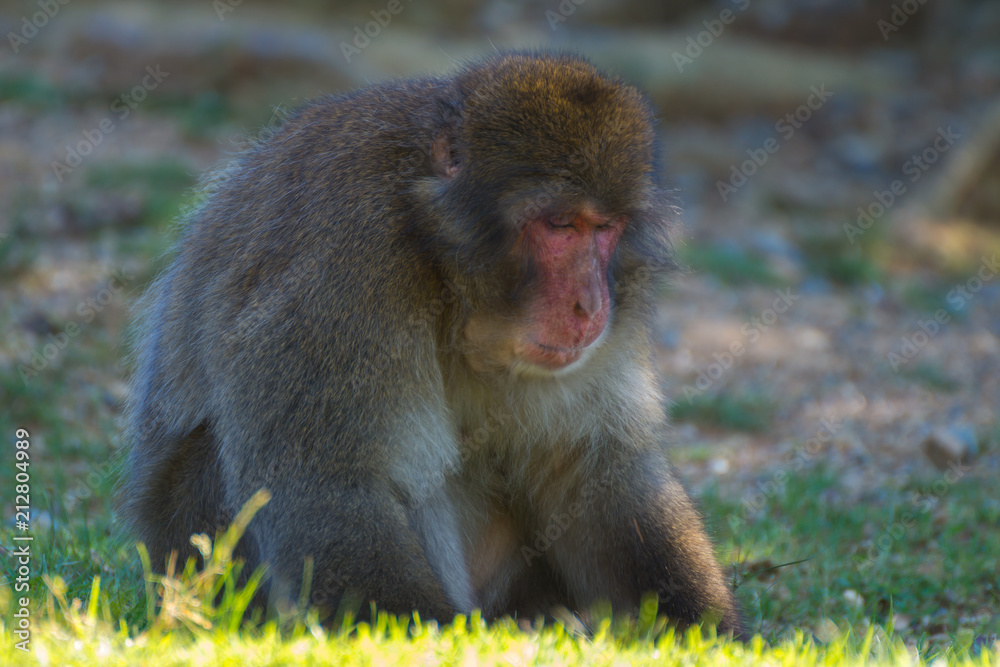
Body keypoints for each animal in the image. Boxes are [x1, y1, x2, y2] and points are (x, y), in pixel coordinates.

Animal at [120, 51, 748, 640]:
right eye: (560, 226)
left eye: (605, 230)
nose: (591, 306)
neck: (447, 273)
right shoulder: (347, 262)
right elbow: (329, 481)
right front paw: (432, 634)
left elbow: (593, 471)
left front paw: (710, 634)